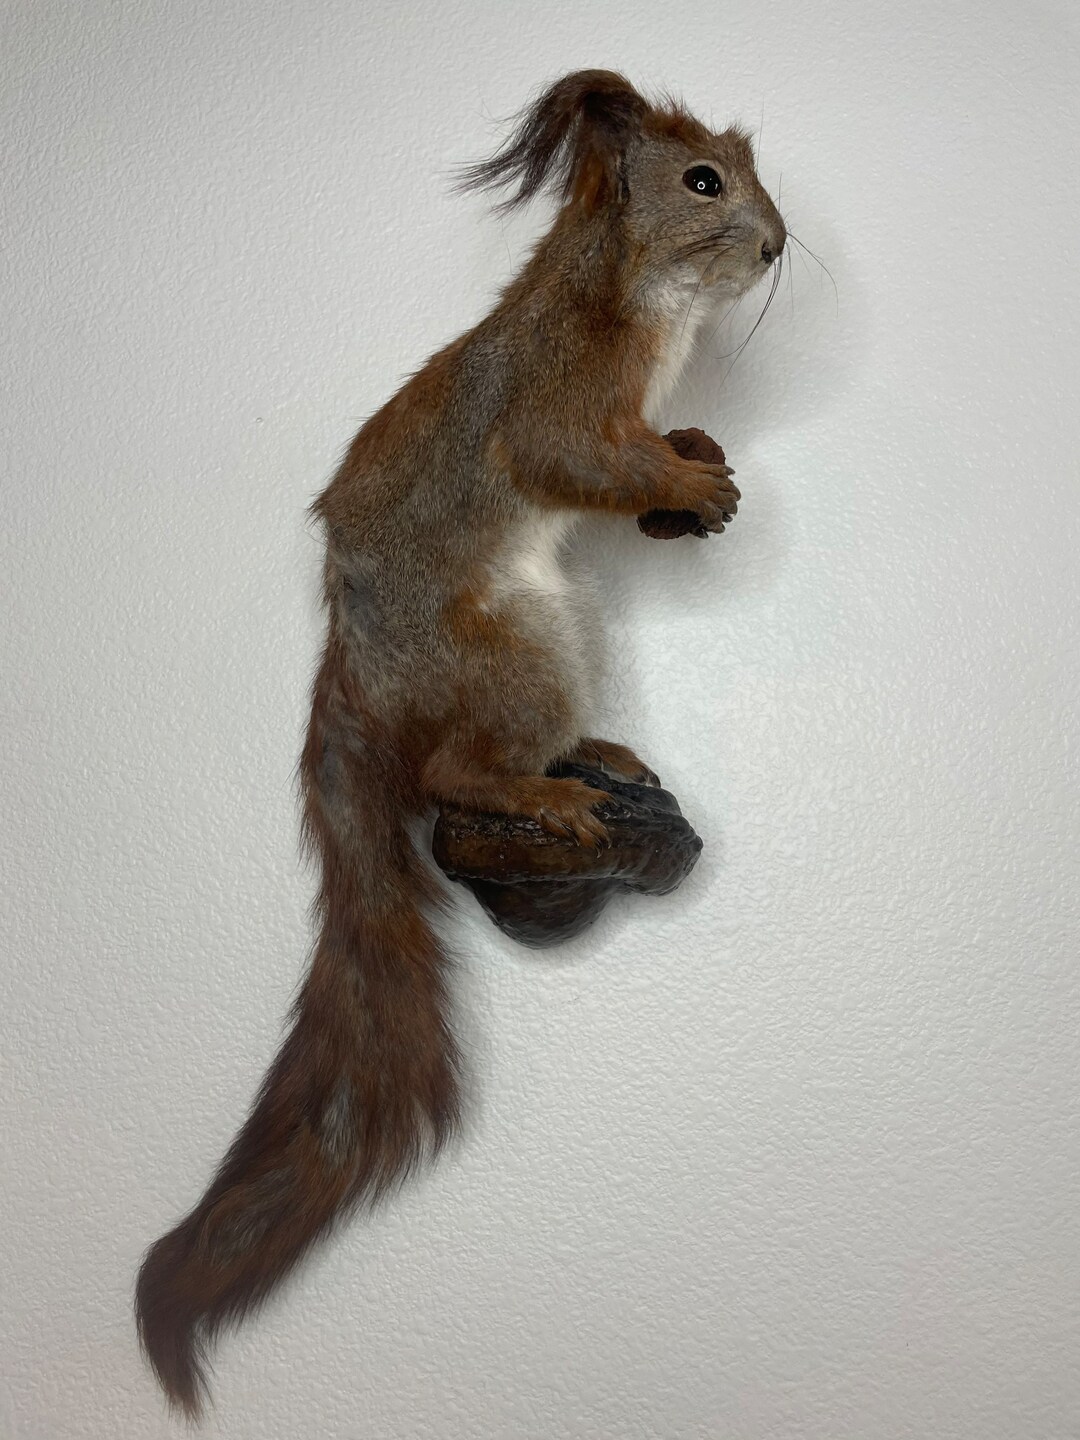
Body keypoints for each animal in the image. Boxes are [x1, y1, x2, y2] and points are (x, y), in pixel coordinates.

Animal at [135, 69, 786, 1418]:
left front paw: (695, 459)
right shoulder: (556, 394)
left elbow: (645, 455)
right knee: (446, 773)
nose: (778, 245)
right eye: (704, 182)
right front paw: (688, 484)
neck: (627, 296)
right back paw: (552, 798)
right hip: (516, 644)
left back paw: (604, 762)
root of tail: (355, 669)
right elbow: (575, 457)